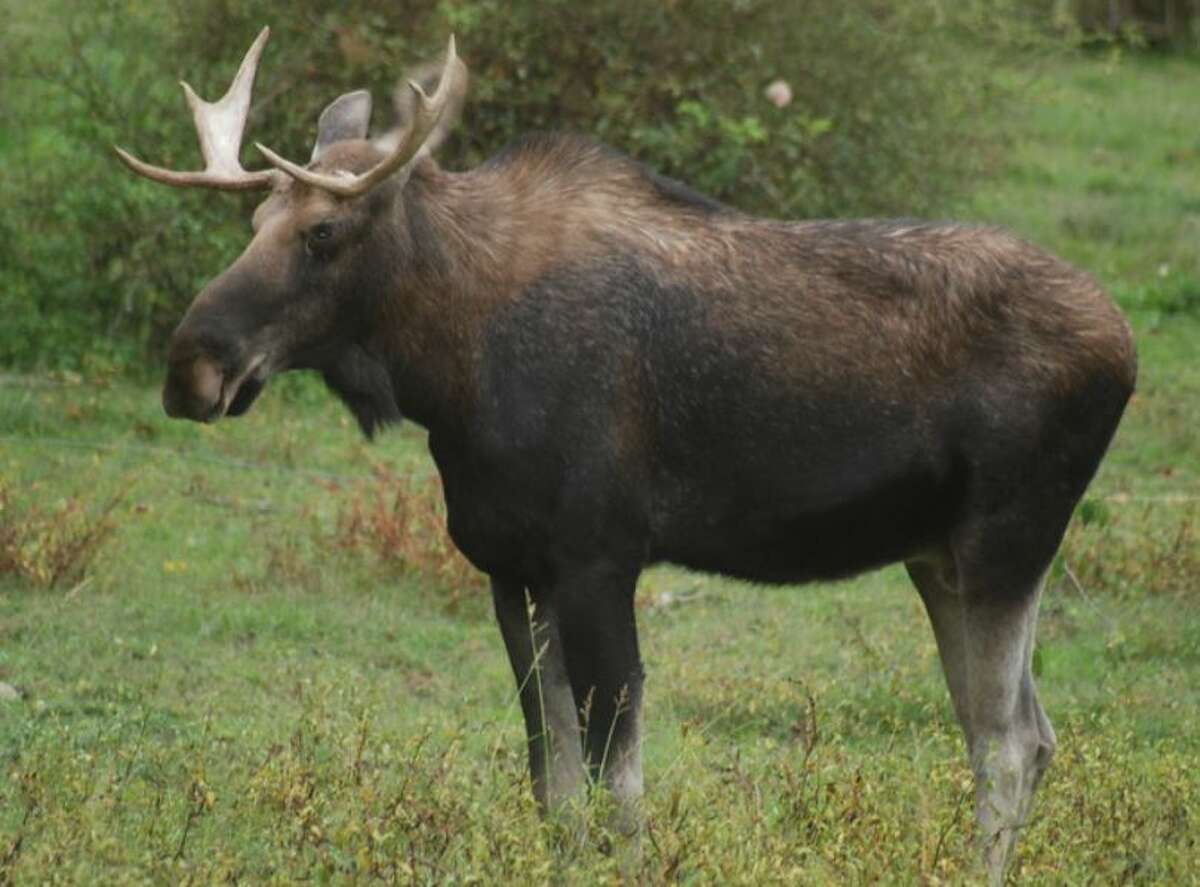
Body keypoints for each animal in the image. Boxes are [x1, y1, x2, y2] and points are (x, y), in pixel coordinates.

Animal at [115, 27, 1136, 883]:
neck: (448, 368)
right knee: (1022, 731)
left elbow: (619, 784)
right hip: (940, 558)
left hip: (1007, 541)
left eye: (323, 231)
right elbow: (553, 781)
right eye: (254, 228)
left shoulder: (598, 557)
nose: (191, 366)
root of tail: (1126, 346)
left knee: (1007, 742)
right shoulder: (510, 567)